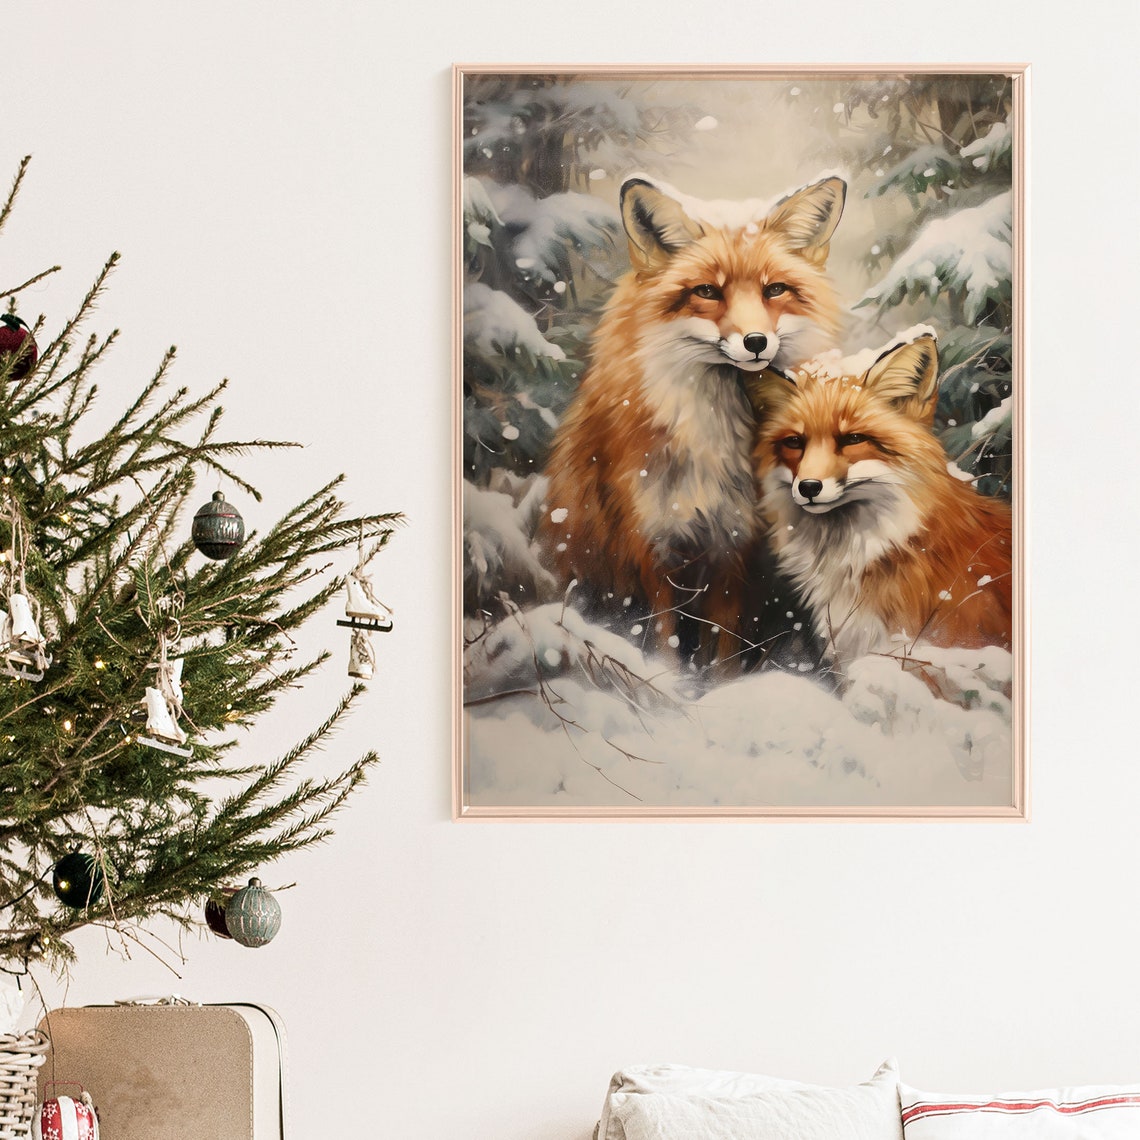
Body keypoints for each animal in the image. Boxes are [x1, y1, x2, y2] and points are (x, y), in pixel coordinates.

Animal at [543, 173, 846, 666]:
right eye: (707, 291)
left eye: (774, 290)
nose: (756, 342)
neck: (713, 441)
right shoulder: (653, 546)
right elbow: (663, 644)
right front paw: (671, 684)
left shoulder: (735, 549)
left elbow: (722, 653)